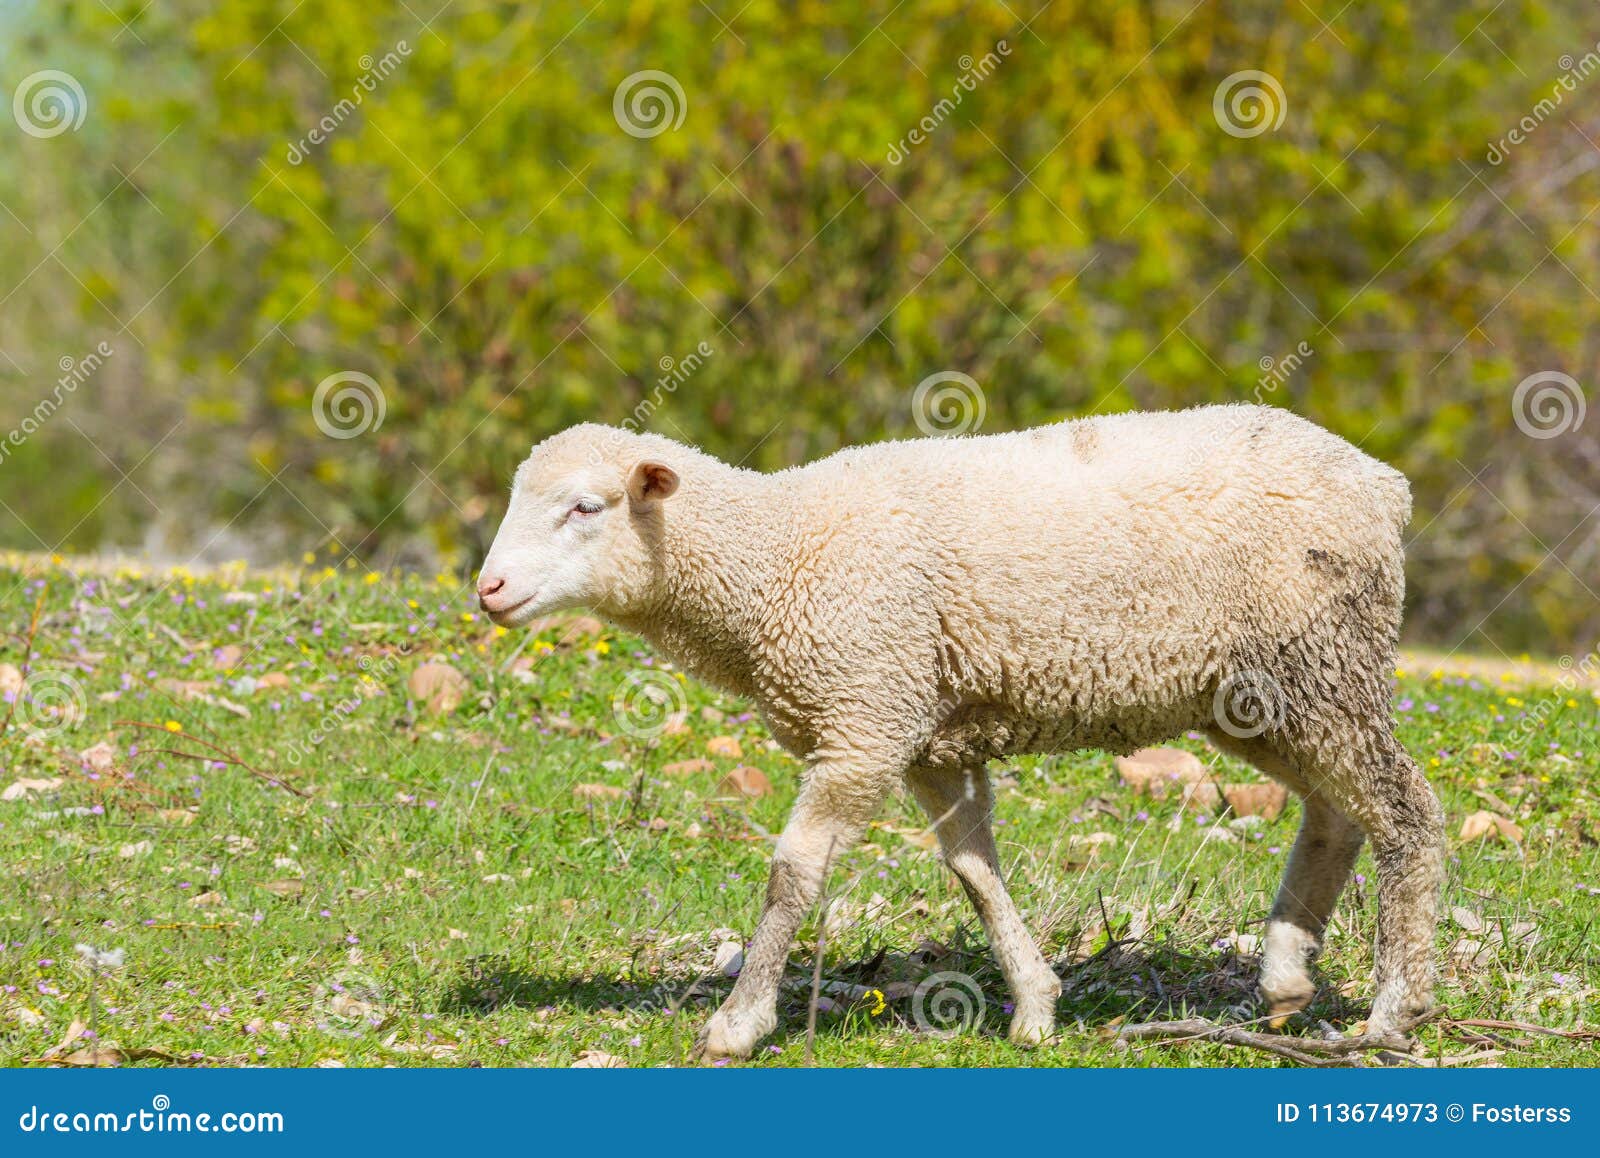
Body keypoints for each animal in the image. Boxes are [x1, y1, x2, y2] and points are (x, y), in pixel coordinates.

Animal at [476, 403, 1443, 1061]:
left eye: (586, 508)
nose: (488, 589)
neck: (776, 558)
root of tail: (1386, 484)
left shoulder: (862, 720)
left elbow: (794, 875)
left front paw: (737, 1023)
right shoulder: (920, 735)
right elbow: (973, 870)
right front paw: (1037, 1004)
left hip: (1319, 659)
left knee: (1407, 811)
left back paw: (1393, 1010)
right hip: (1257, 696)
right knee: (1338, 812)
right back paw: (1285, 972)